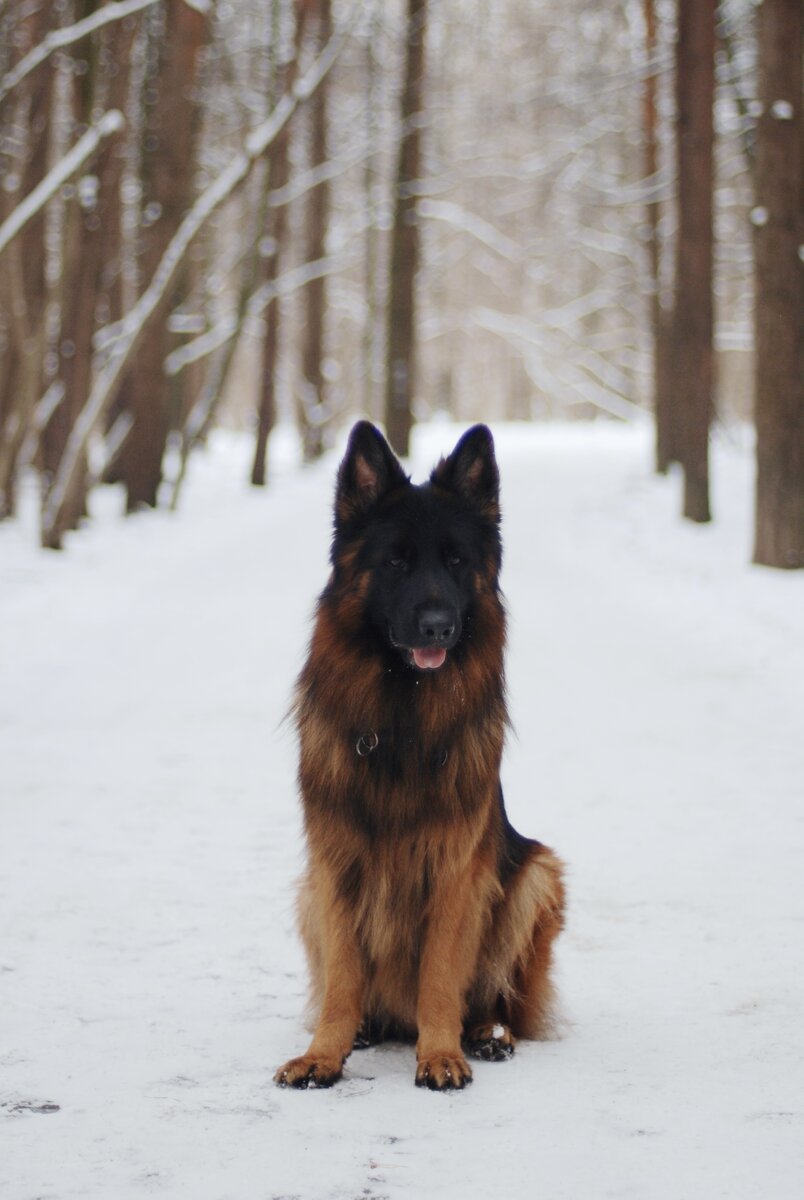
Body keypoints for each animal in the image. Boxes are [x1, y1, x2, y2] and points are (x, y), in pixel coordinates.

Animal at [277, 422, 566, 1089]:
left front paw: (440, 1052)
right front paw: (324, 1051)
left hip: (538, 877)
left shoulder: (457, 871)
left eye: (457, 561)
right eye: (396, 562)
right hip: (308, 894)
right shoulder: (335, 866)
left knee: (497, 999)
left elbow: (440, 973)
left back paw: (487, 1034)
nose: (437, 627)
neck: (401, 722)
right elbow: (343, 976)